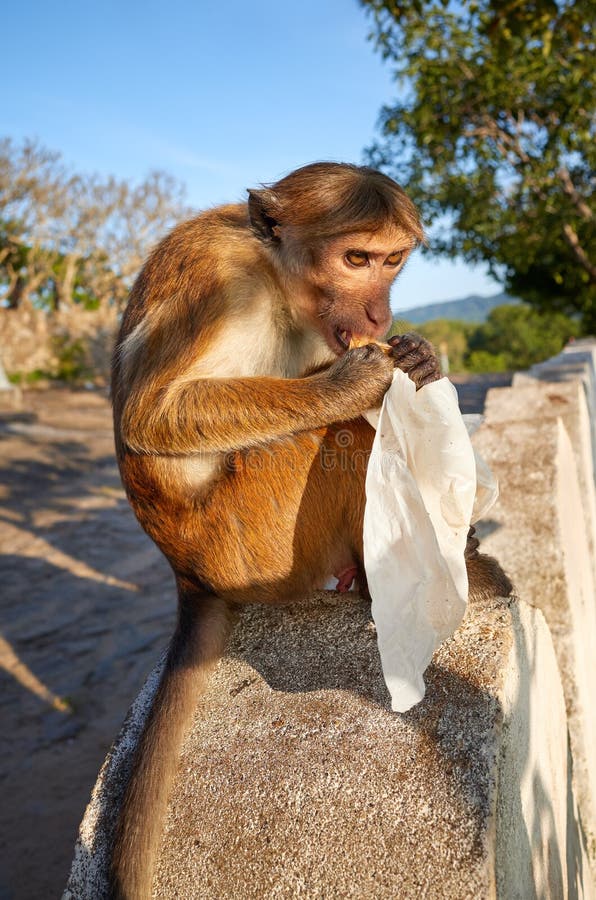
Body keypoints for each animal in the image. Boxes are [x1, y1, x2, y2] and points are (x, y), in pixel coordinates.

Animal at [109, 162, 511, 899]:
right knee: (343, 435)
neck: (274, 279)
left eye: (391, 260)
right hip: (250, 532)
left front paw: (416, 353)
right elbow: (152, 414)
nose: (379, 312)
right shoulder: (216, 276)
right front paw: (353, 380)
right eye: (356, 259)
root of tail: (188, 573)